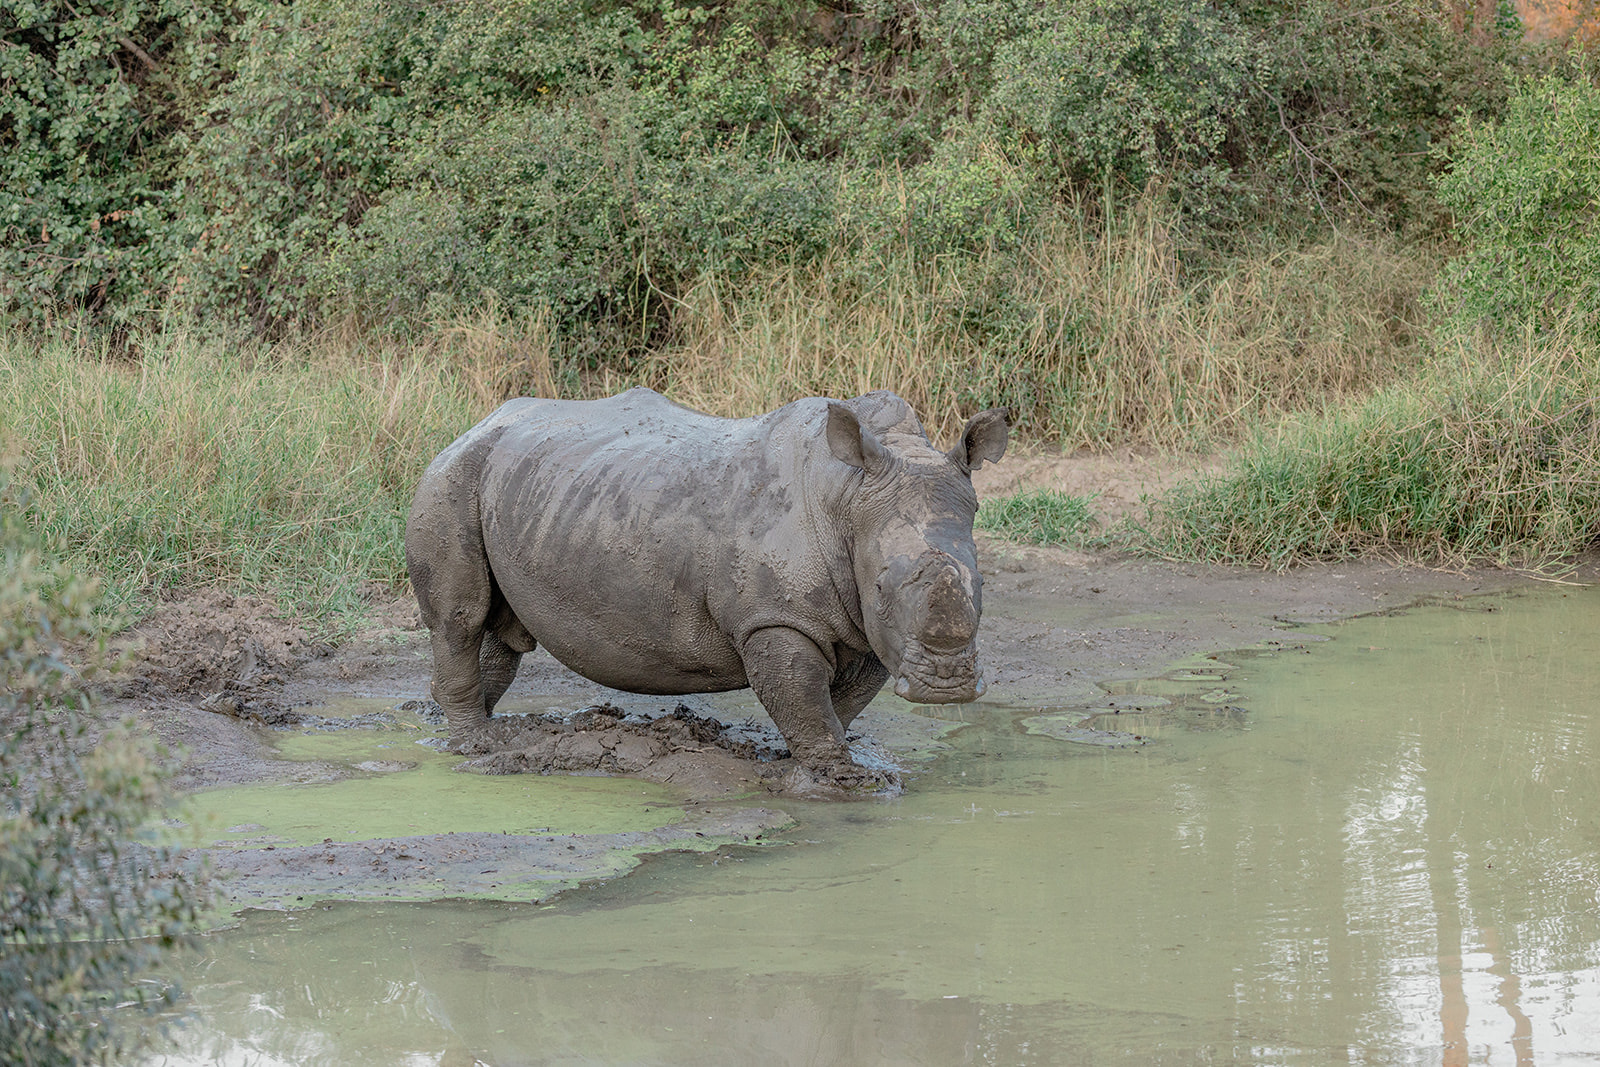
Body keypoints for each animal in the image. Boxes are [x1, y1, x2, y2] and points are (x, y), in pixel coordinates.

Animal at [404, 388, 1008, 773]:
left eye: (982, 585)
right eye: (882, 588)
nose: (947, 686)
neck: (848, 498)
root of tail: (476, 424)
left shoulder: (868, 631)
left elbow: (833, 707)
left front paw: (813, 764)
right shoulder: (774, 618)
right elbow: (807, 704)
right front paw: (832, 782)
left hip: (525, 484)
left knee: (502, 635)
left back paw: (487, 733)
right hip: (451, 477)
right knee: (460, 621)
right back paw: (477, 746)